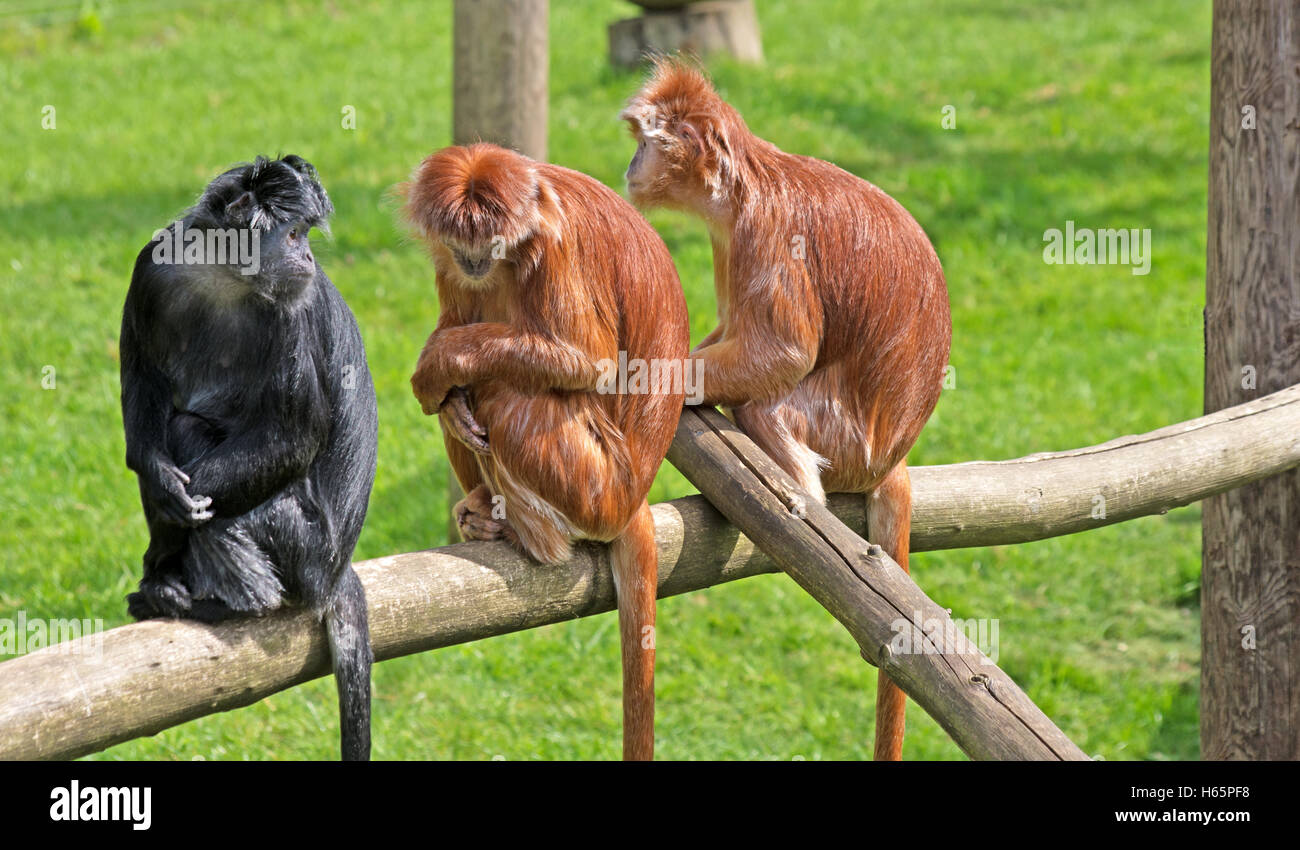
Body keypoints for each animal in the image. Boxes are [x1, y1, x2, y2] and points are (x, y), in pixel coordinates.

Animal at [119, 155, 378, 761]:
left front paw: (164, 543)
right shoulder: (153, 263)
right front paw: (160, 502)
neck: (225, 278)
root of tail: (334, 571)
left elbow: (294, 435)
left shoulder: (293, 306)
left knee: (195, 440)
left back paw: (228, 603)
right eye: (294, 235)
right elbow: (142, 380)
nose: (307, 258)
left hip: (301, 542)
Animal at [403, 142, 690, 761]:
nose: (476, 262)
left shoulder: (554, 246)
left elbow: (590, 361)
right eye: (463, 245)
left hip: (593, 484)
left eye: (490, 242)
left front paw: (440, 363)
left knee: (504, 387)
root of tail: (635, 494)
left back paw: (529, 535)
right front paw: (445, 389)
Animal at [621, 59, 952, 761]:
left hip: (846, 435)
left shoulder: (765, 234)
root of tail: (894, 455)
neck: (748, 183)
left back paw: (797, 492)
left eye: (646, 142)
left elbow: (786, 350)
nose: (631, 163)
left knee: (765, 407)